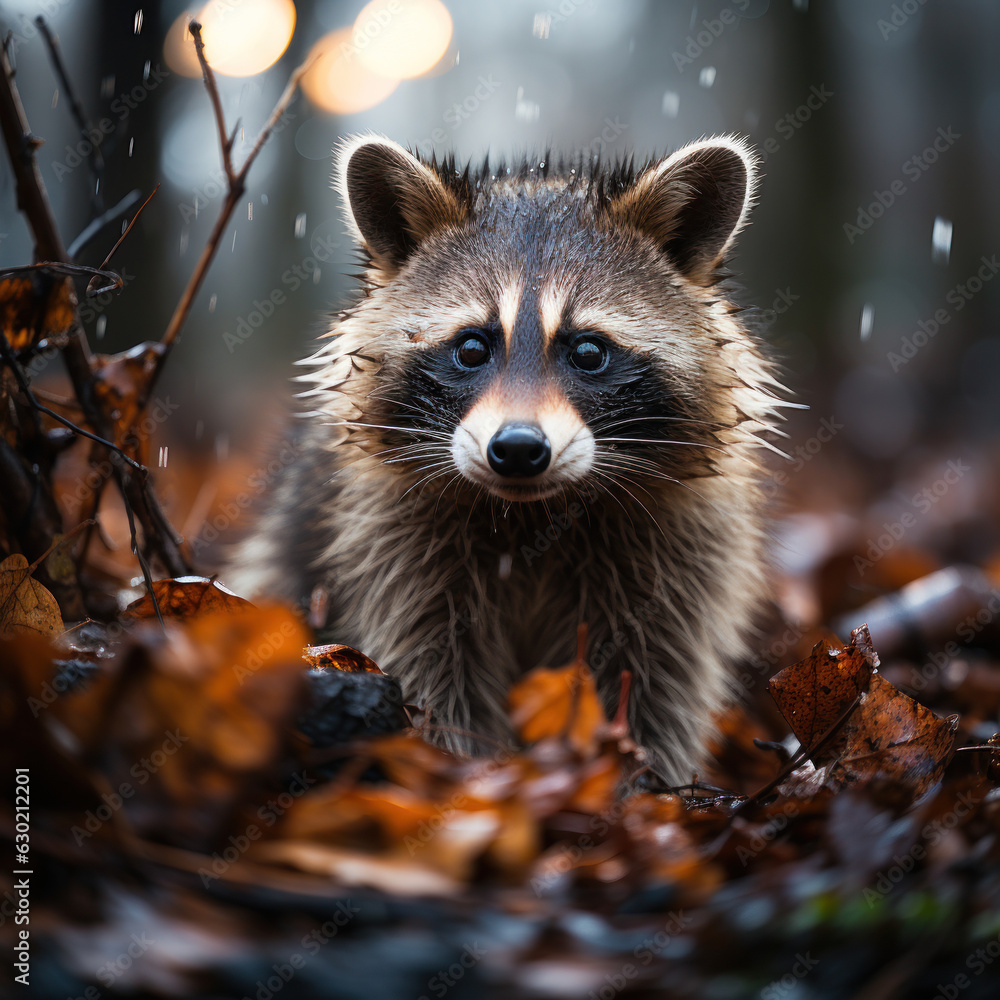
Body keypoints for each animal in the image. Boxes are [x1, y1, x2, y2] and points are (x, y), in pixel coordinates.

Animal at [226, 134, 787, 784]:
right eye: (471, 347)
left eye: (588, 351)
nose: (518, 450)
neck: (532, 513)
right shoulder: (387, 538)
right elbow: (430, 661)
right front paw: (459, 769)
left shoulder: (679, 550)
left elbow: (656, 673)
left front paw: (644, 782)